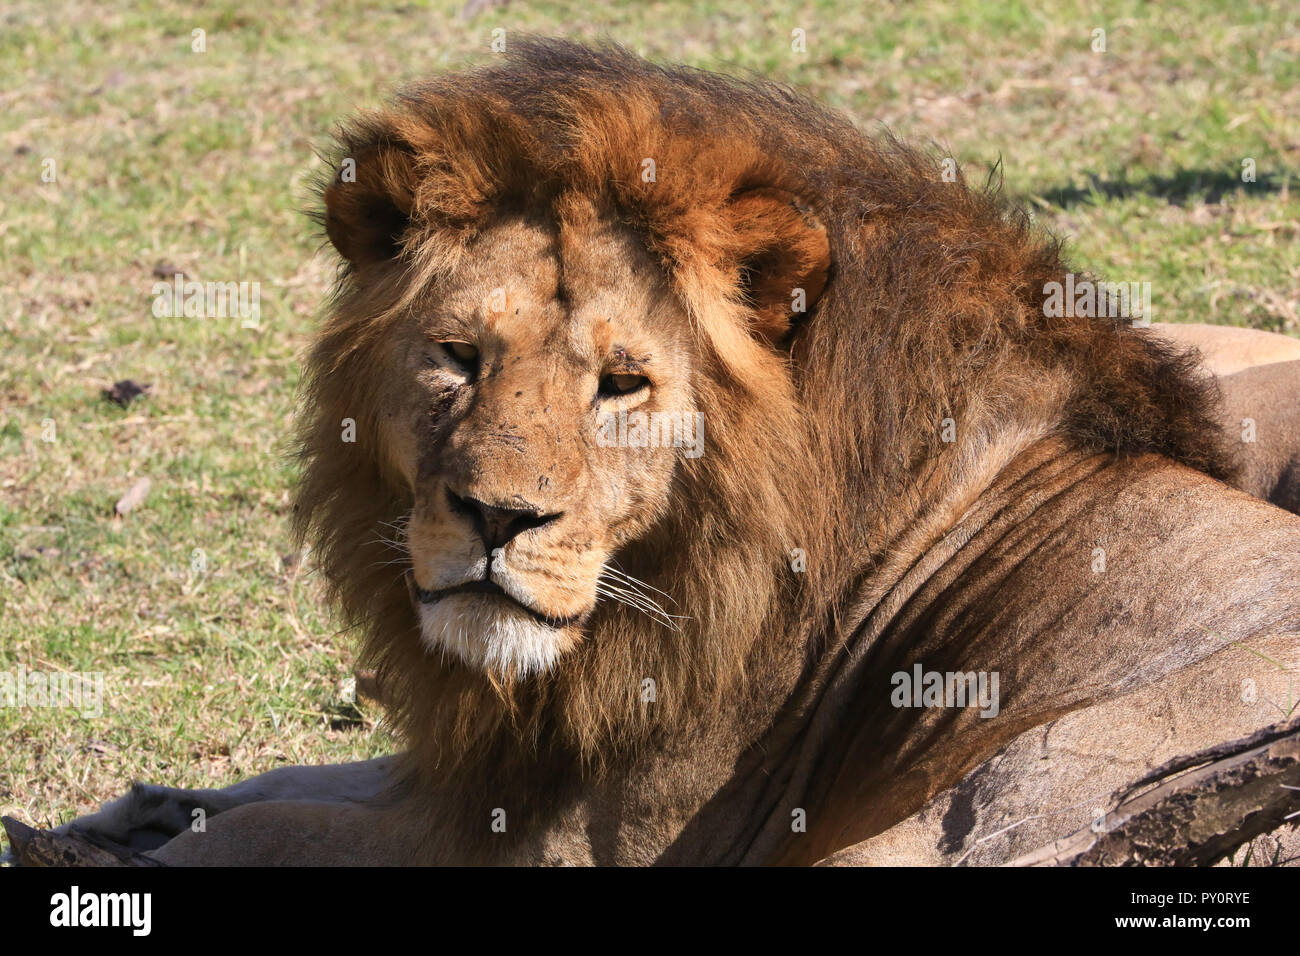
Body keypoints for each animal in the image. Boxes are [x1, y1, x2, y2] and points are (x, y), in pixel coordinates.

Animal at [12, 39, 1300, 866]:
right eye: (459, 356)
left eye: (622, 384)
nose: (496, 518)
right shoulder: (488, 773)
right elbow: (278, 788)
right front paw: (123, 811)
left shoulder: (592, 841)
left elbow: (265, 829)